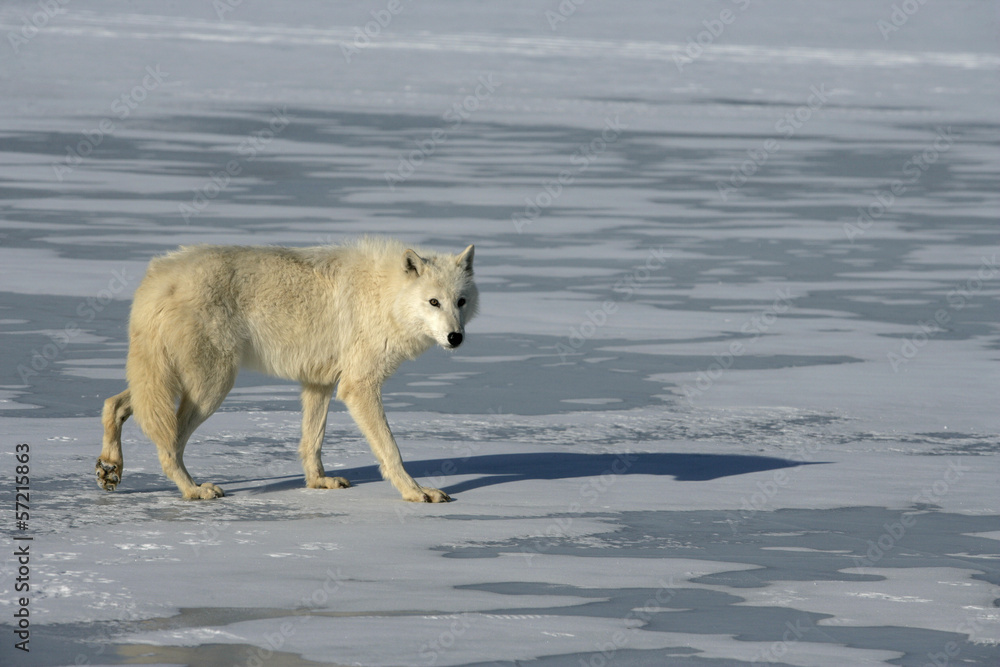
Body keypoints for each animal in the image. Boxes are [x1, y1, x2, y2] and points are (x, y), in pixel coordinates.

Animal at [96, 237, 478, 503]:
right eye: (433, 302)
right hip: (211, 387)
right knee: (169, 445)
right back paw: (193, 490)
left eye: (460, 302)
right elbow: (390, 449)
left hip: (169, 383)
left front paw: (318, 482)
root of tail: (157, 277)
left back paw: (109, 468)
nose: (455, 337)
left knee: (115, 404)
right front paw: (416, 492)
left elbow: (312, 441)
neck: (385, 296)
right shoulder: (358, 386)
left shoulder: (319, 383)